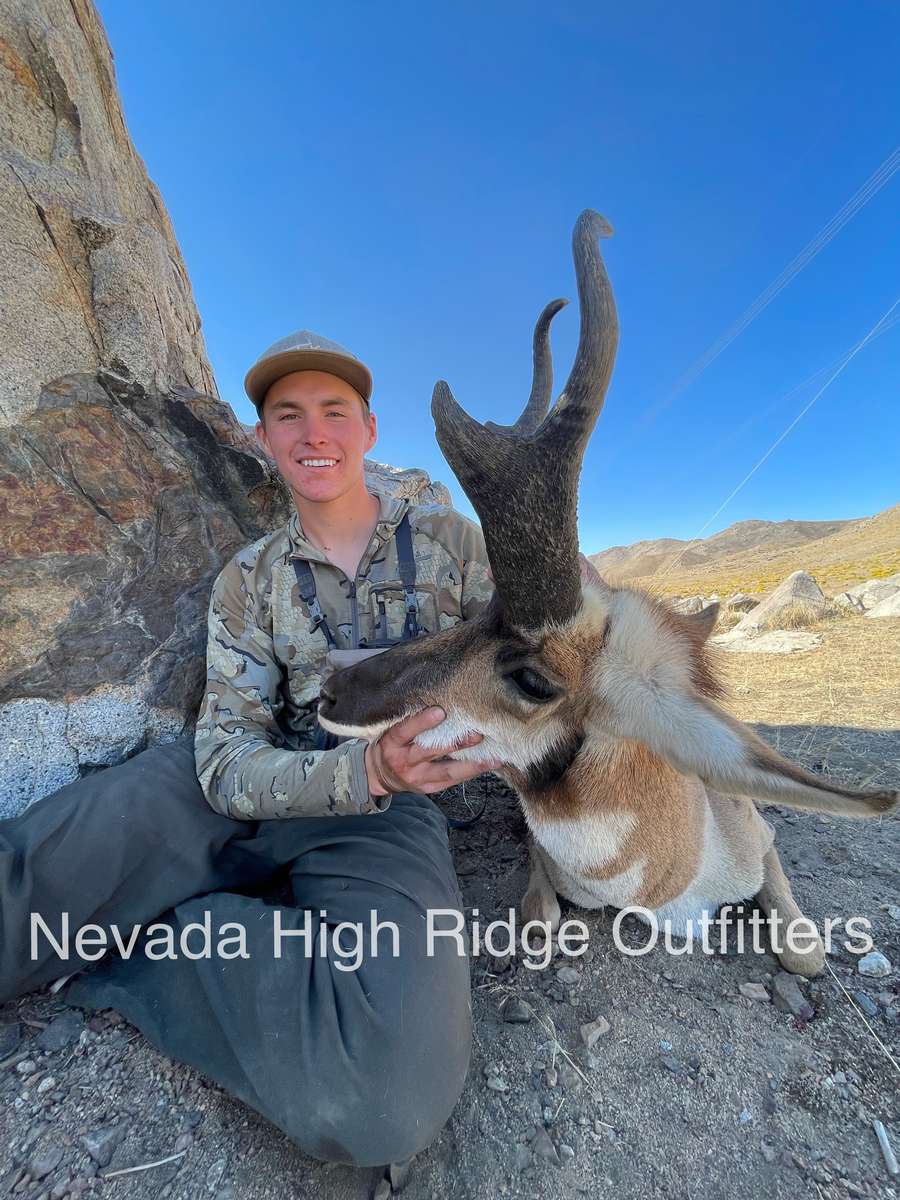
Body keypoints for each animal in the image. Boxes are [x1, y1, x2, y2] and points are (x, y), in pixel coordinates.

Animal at [318, 210, 898, 977]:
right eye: (480, 611)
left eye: (534, 679)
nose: (330, 692)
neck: (673, 878)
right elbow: (540, 921)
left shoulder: (763, 846)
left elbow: (804, 953)